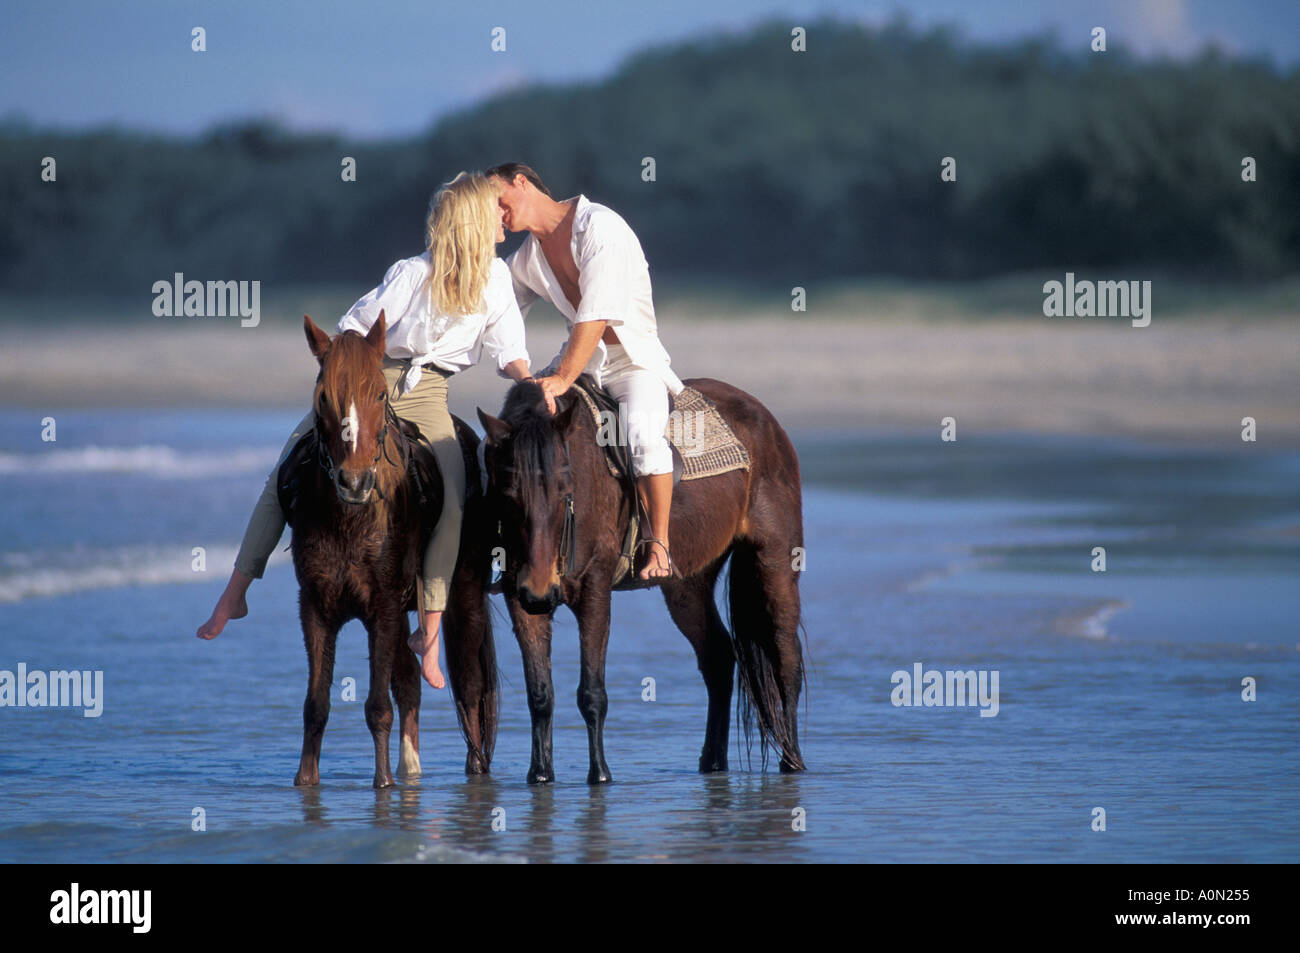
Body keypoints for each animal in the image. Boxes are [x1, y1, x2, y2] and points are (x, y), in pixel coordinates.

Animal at [283, 311, 498, 788]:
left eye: (379, 394)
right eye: (322, 397)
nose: (354, 481)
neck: (350, 518)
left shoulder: (380, 607)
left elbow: (378, 706)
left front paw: (382, 784)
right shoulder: (315, 607)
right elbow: (315, 705)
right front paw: (306, 781)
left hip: (463, 594)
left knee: (469, 682)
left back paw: (474, 767)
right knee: (410, 680)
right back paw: (411, 766)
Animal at [476, 377, 806, 783]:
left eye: (566, 490)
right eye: (509, 494)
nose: (540, 591)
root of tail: (764, 417)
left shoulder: (595, 591)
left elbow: (592, 693)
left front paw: (600, 775)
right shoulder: (519, 599)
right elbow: (539, 694)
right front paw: (539, 775)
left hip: (776, 563)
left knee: (785, 660)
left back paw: (792, 761)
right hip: (687, 585)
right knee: (718, 656)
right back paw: (713, 763)